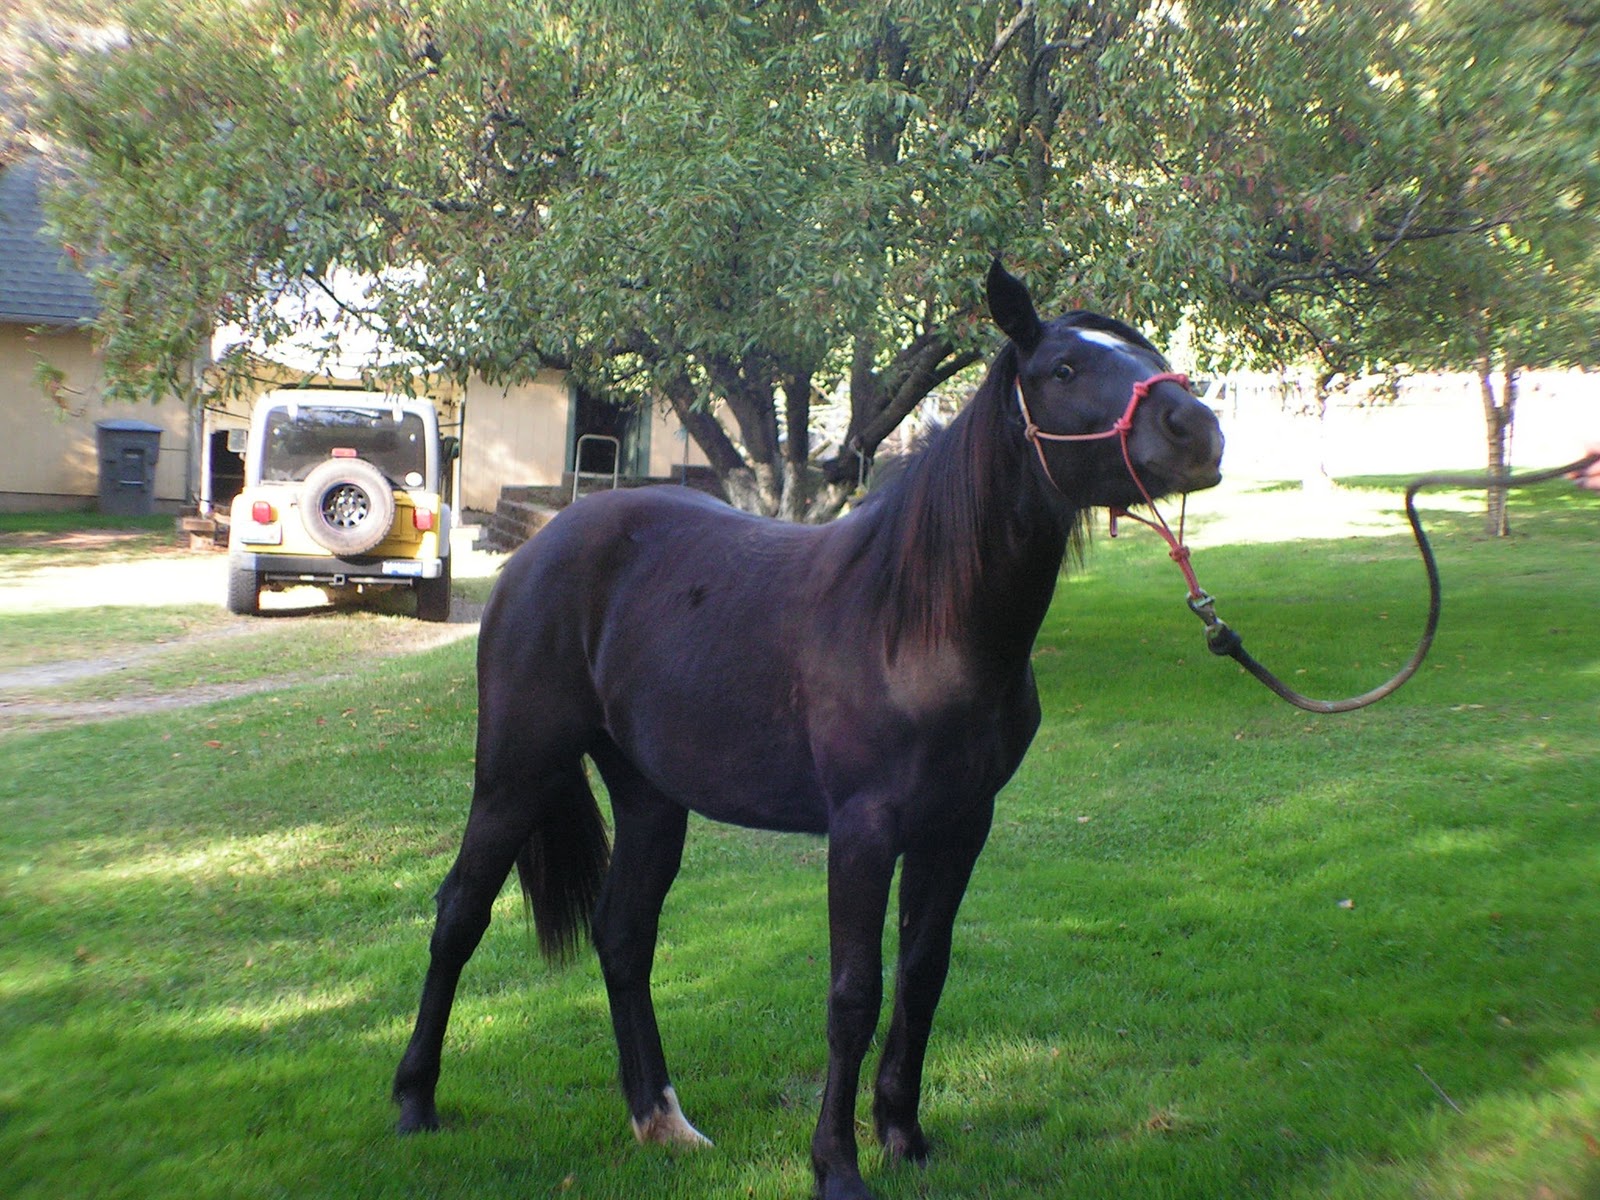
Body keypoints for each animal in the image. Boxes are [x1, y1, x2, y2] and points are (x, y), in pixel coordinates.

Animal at [392, 261, 1225, 1200]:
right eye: (1065, 370)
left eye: (1149, 357)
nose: (1197, 430)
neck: (921, 622)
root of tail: (538, 549)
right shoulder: (863, 831)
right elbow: (853, 994)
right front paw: (838, 1165)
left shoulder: (959, 825)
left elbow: (924, 973)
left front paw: (905, 1134)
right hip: (515, 773)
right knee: (459, 915)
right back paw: (416, 1103)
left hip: (651, 797)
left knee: (624, 935)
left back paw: (661, 1118)